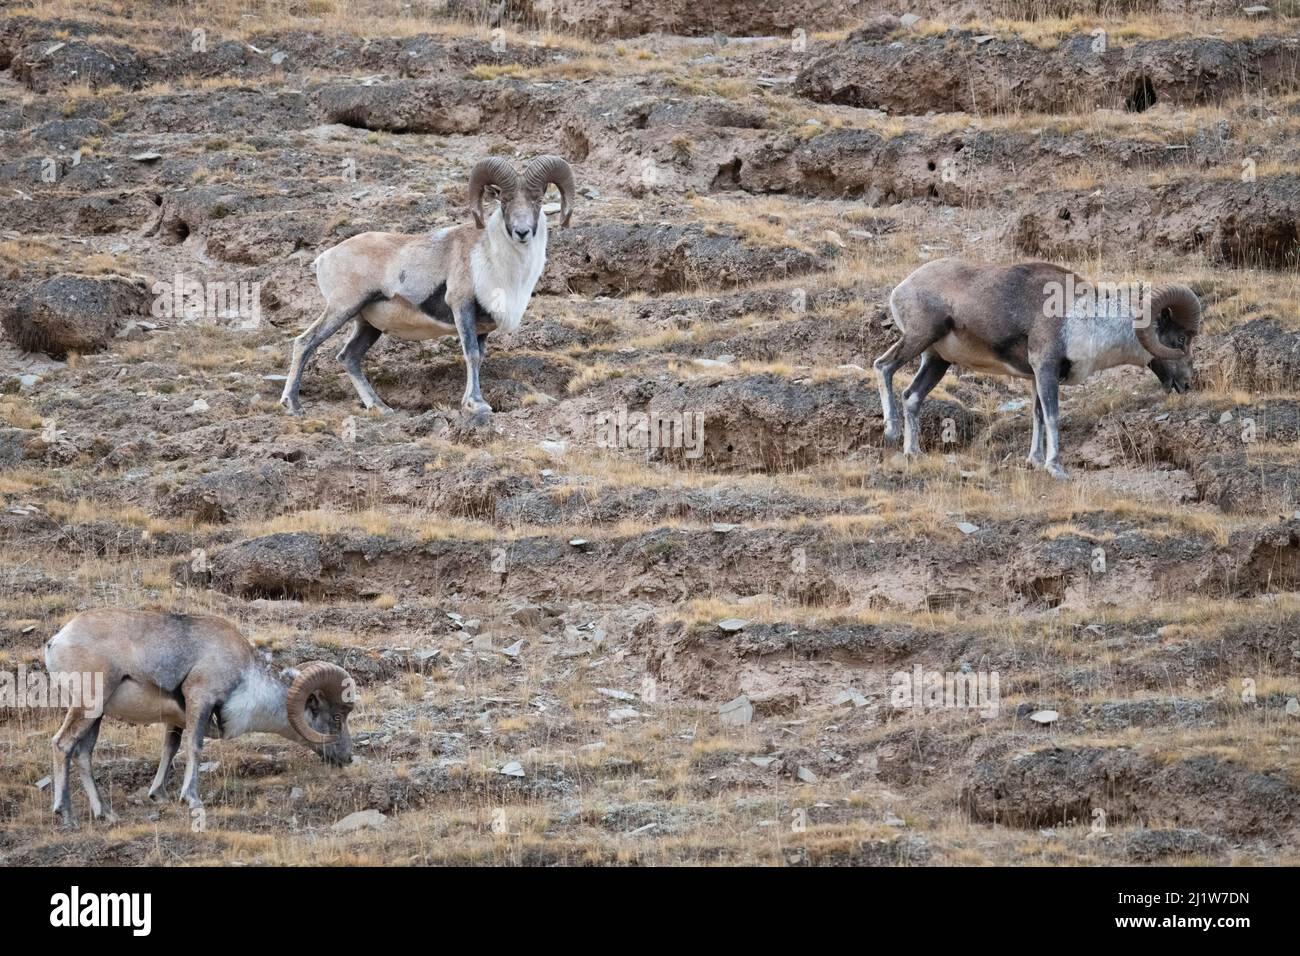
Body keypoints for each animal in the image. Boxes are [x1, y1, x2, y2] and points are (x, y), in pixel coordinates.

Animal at [44, 608, 355, 823]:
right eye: (336, 718)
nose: (348, 758)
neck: (248, 680)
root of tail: (57, 641)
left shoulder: (175, 721)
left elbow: (170, 750)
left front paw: (159, 795)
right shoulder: (200, 701)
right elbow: (194, 748)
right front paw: (192, 799)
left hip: (96, 716)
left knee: (83, 754)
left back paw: (105, 813)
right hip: (87, 706)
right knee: (62, 745)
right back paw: (66, 814)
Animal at [279, 155, 576, 417]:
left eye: (538, 200)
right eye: (504, 200)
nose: (521, 232)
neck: (496, 263)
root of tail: (323, 259)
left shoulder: (482, 326)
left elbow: (479, 356)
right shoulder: (461, 307)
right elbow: (471, 355)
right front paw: (477, 405)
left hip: (368, 325)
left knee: (348, 357)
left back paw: (381, 408)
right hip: (342, 308)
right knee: (305, 343)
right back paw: (293, 405)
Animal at [874, 259, 1201, 479]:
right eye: (1181, 339)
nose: (1186, 384)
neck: (1087, 321)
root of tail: (901, 289)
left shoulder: (1037, 378)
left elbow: (1038, 416)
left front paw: (1034, 461)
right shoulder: (1046, 369)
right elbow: (1053, 416)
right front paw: (1055, 468)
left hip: (937, 361)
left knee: (912, 396)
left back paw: (912, 452)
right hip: (920, 338)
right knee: (883, 366)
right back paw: (891, 431)